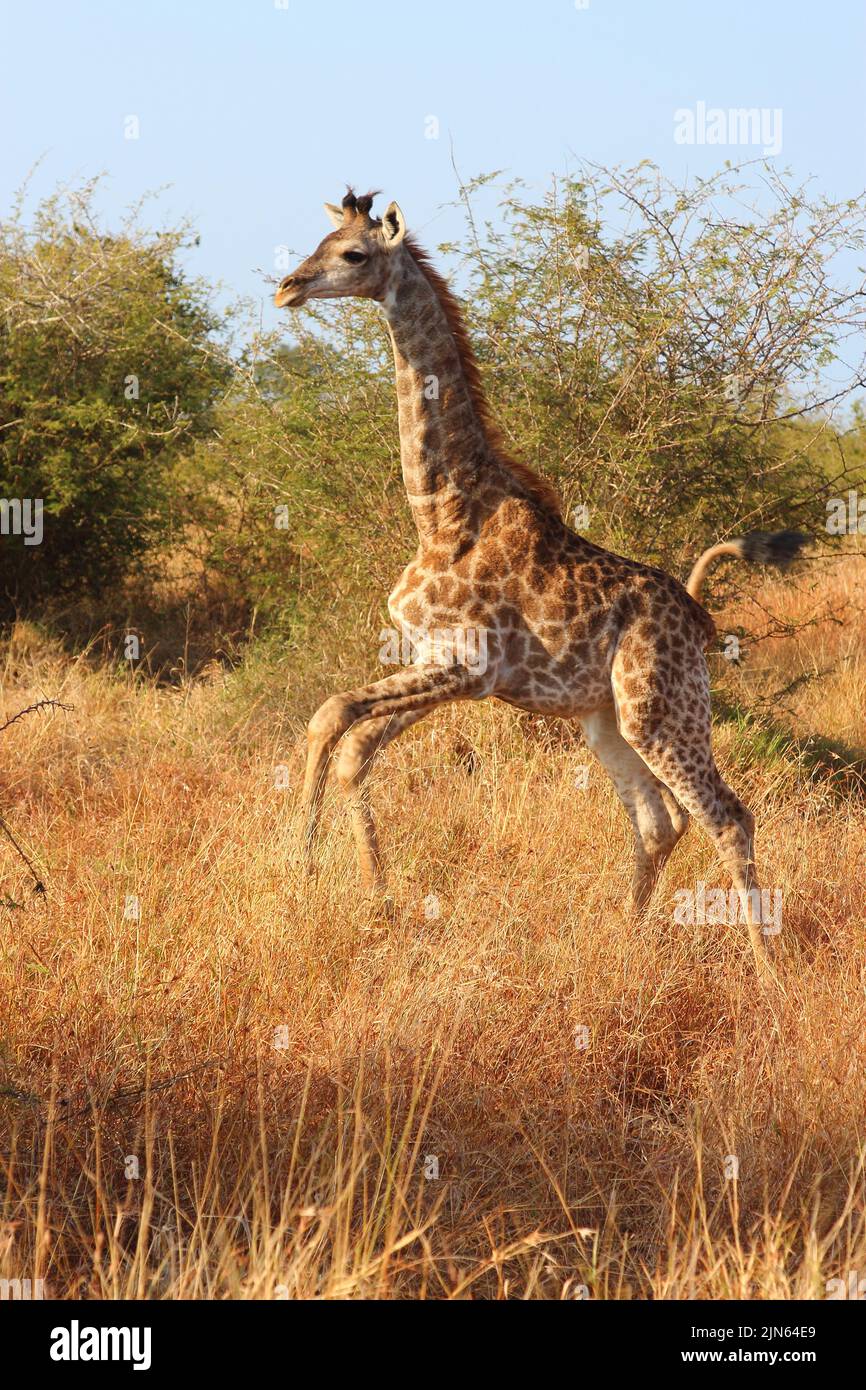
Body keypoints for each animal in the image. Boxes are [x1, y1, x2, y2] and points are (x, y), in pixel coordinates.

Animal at [275, 190, 806, 979]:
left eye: (353, 254)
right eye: (320, 241)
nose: (288, 287)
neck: (444, 513)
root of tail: (699, 616)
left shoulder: (468, 665)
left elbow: (333, 714)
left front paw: (305, 869)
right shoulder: (432, 660)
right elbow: (350, 745)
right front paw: (373, 896)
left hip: (660, 709)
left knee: (727, 816)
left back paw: (768, 972)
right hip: (606, 718)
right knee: (657, 820)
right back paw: (624, 940)